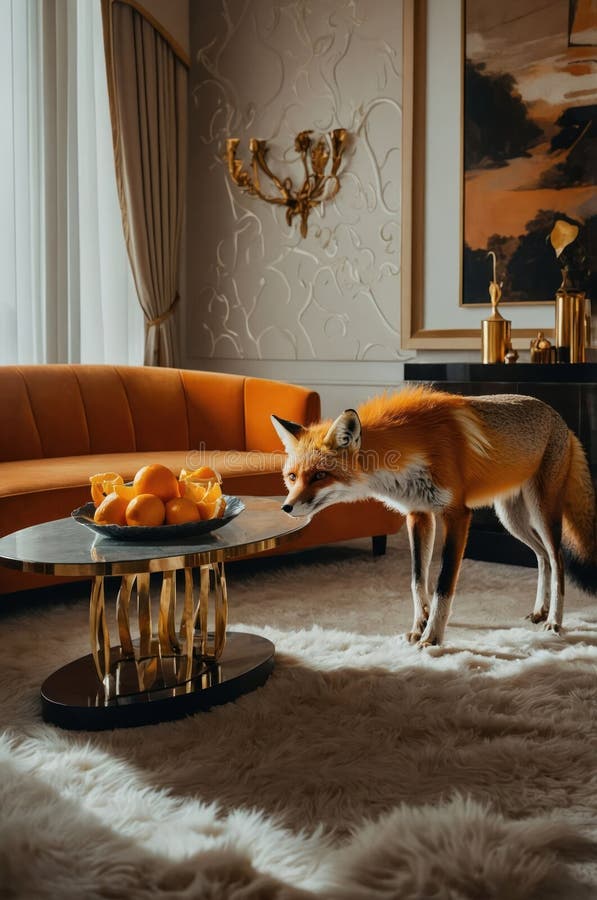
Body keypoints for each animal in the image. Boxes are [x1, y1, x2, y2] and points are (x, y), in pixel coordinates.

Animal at [271, 385, 597, 646]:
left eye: (319, 476)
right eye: (292, 477)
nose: (286, 507)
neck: (410, 454)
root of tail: (561, 420)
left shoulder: (457, 515)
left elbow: (442, 585)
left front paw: (432, 638)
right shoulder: (418, 514)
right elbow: (418, 580)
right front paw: (419, 625)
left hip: (542, 510)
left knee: (558, 560)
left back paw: (554, 620)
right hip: (511, 518)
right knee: (542, 557)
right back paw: (540, 610)